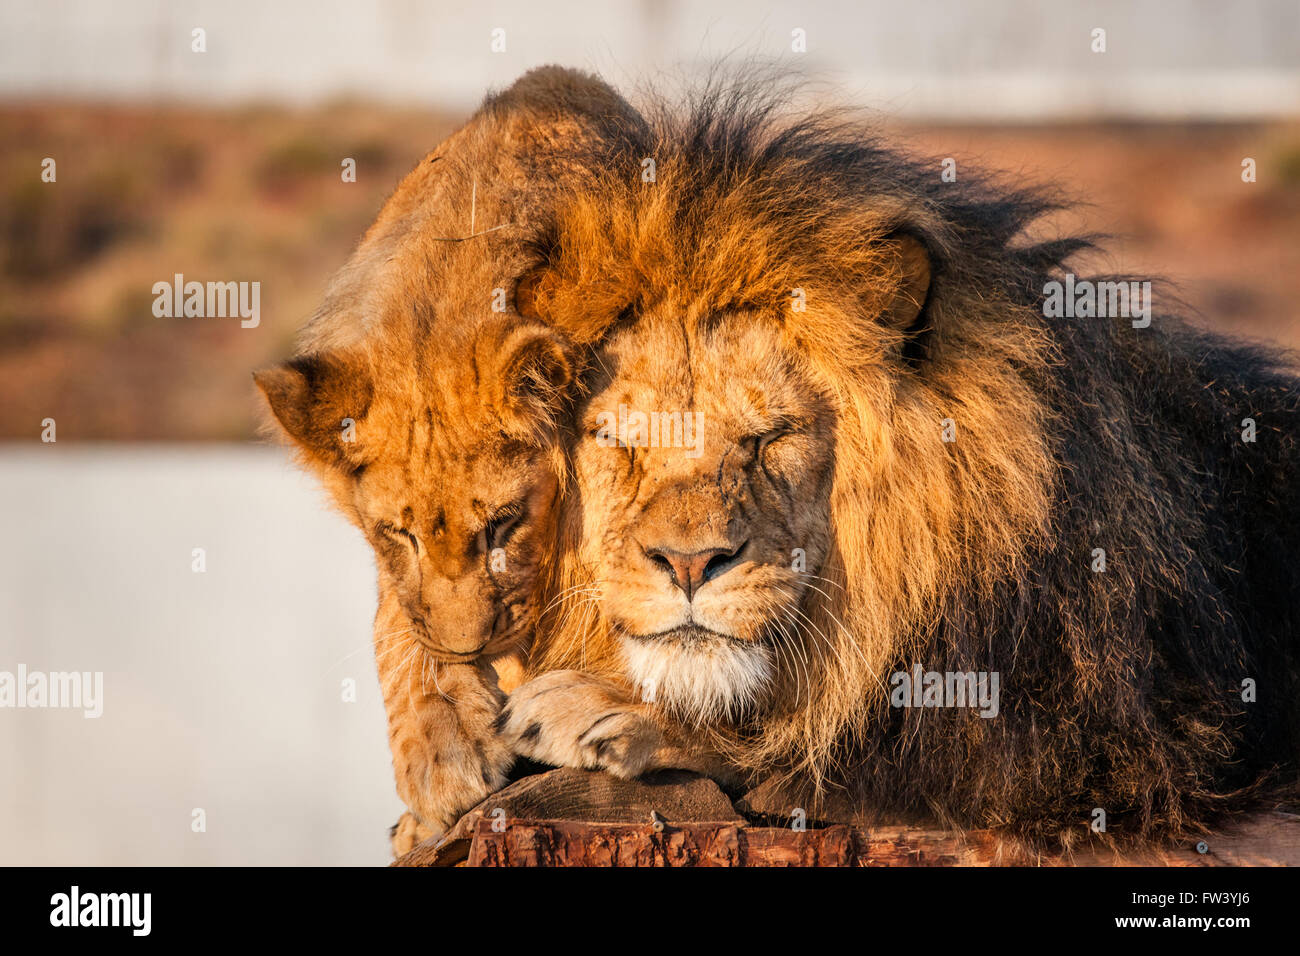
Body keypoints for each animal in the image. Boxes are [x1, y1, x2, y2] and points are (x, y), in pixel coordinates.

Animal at [496, 72, 1300, 846]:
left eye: (771, 436)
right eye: (621, 440)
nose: (690, 564)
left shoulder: (1117, 742)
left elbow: (818, 738)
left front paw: (589, 706)